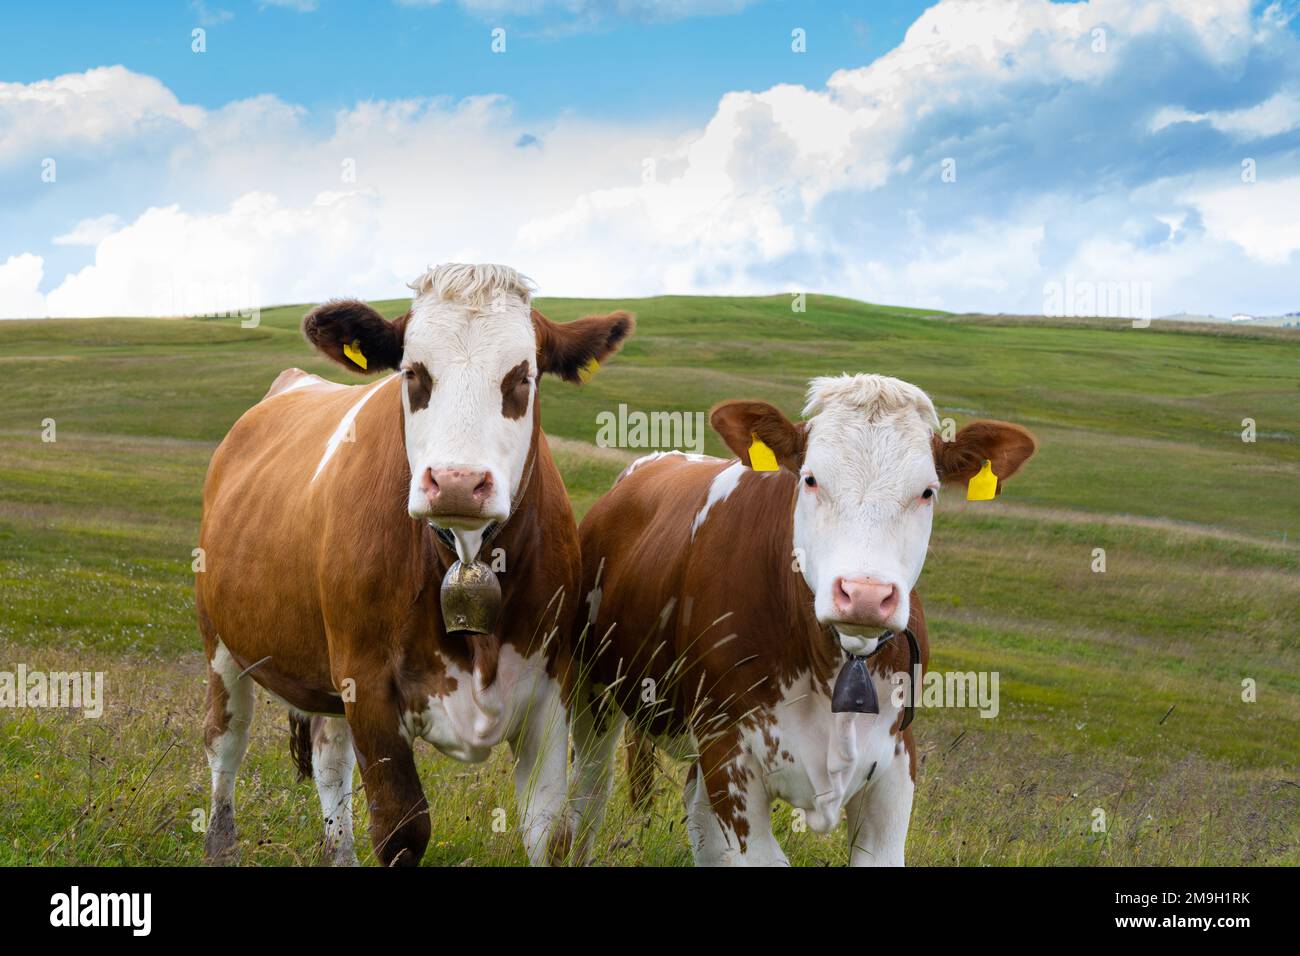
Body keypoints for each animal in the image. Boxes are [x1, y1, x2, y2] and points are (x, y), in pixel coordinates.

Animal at [195, 263, 633, 866]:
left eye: (523, 377)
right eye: (412, 373)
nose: (457, 482)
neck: (464, 555)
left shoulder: (552, 686)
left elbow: (549, 832)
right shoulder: (367, 681)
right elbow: (402, 828)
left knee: (329, 760)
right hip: (221, 641)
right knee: (226, 743)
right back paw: (220, 843)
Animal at [567, 373, 1035, 865]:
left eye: (927, 491)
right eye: (810, 479)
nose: (865, 593)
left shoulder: (895, 765)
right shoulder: (728, 754)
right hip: (593, 692)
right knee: (589, 793)